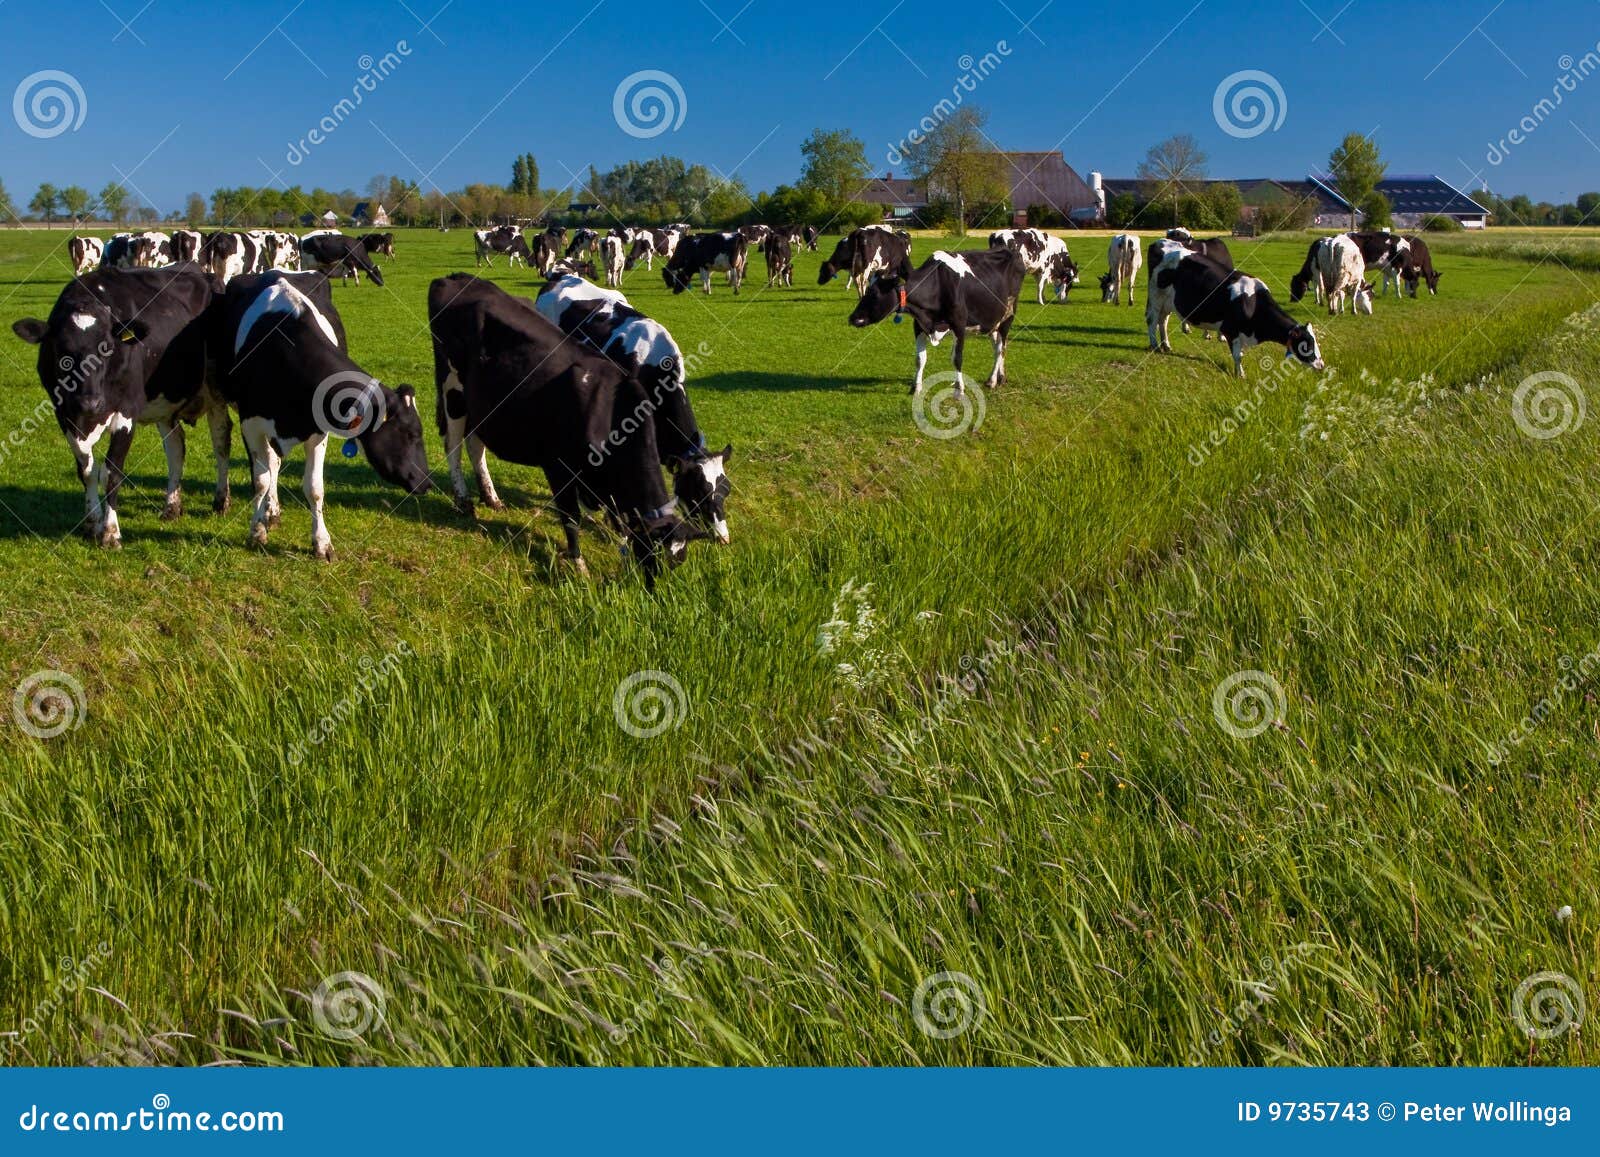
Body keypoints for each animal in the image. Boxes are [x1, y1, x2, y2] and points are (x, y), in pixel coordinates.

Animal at [10, 266, 231, 546]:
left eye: (106, 348)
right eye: (62, 351)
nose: (90, 402)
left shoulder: (126, 412)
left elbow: (111, 472)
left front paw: (110, 531)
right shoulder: (65, 415)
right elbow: (87, 470)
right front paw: (91, 523)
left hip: (217, 392)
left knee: (221, 442)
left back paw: (221, 501)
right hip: (165, 403)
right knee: (175, 448)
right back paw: (171, 507)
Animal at [218, 271, 430, 559]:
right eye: (411, 434)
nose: (427, 482)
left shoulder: (318, 430)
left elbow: (314, 488)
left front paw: (321, 543)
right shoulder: (250, 424)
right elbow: (260, 480)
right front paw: (256, 531)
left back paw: (273, 511)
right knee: (270, 464)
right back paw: (268, 512)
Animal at [427, 274, 705, 585]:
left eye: (676, 561)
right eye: (654, 554)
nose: (651, 588)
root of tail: (455, 277)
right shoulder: (558, 468)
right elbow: (571, 518)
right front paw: (579, 565)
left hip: (480, 404)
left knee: (476, 446)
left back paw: (491, 497)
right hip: (452, 390)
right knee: (453, 444)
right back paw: (463, 500)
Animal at [848, 247, 1024, 396]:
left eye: (874, 293)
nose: (852, 318)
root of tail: (1011, 251)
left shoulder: (959, 324)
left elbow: (957, 358)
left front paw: (959, 389)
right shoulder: (918, 325)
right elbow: (920, 358)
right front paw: (916, 387)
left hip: (1008, 315)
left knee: (1000, 348)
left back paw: (993, 380)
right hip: (992, 321)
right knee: (997, 346)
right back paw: (1000, 377)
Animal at [1146, 247, 1324, 378]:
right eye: (1306, 345)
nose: (1321, 365)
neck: (1252, 303)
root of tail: (1161, 242)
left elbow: (1241, 354)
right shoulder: (1230, 330)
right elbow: (1238, 356)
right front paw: (1240, 375)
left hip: (1168, 302)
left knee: (1163, 321)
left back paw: (1166, 346)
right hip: (1155, 295)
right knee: (1152, 320)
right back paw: (1155, 345)